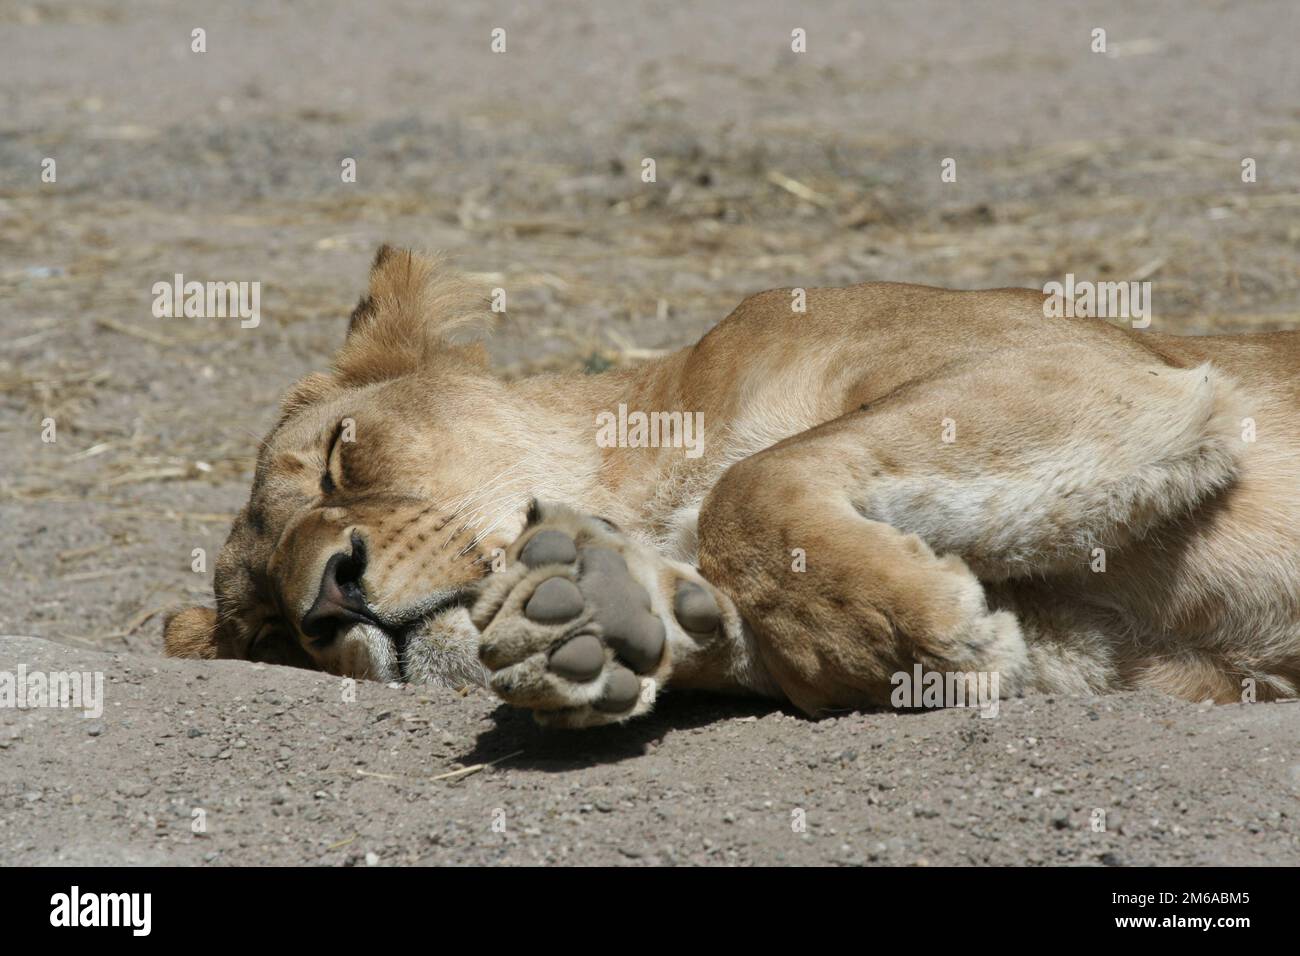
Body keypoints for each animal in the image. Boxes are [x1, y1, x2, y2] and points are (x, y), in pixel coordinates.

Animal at [164, 246, 1300, 726]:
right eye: (269, 634)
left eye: (337, 456)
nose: (325, 600)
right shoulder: (1106, 655)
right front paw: (580, 624)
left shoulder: (1092, 372)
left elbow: (751, 483)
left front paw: (899, 619)